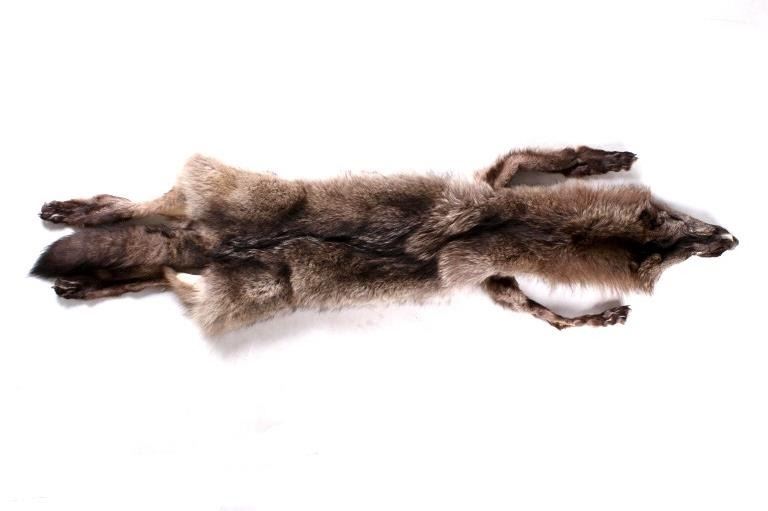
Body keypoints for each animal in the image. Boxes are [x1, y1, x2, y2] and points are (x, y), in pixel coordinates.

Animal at [31, 147, 738, 335]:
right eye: (678, 238)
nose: (729, 238)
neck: (515, 227)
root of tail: (203, 248)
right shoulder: (494, 207)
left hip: (204, 252)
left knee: (141, 258)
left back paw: (79, 262)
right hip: (208, 204)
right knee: (138, 212)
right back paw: (78, 214)